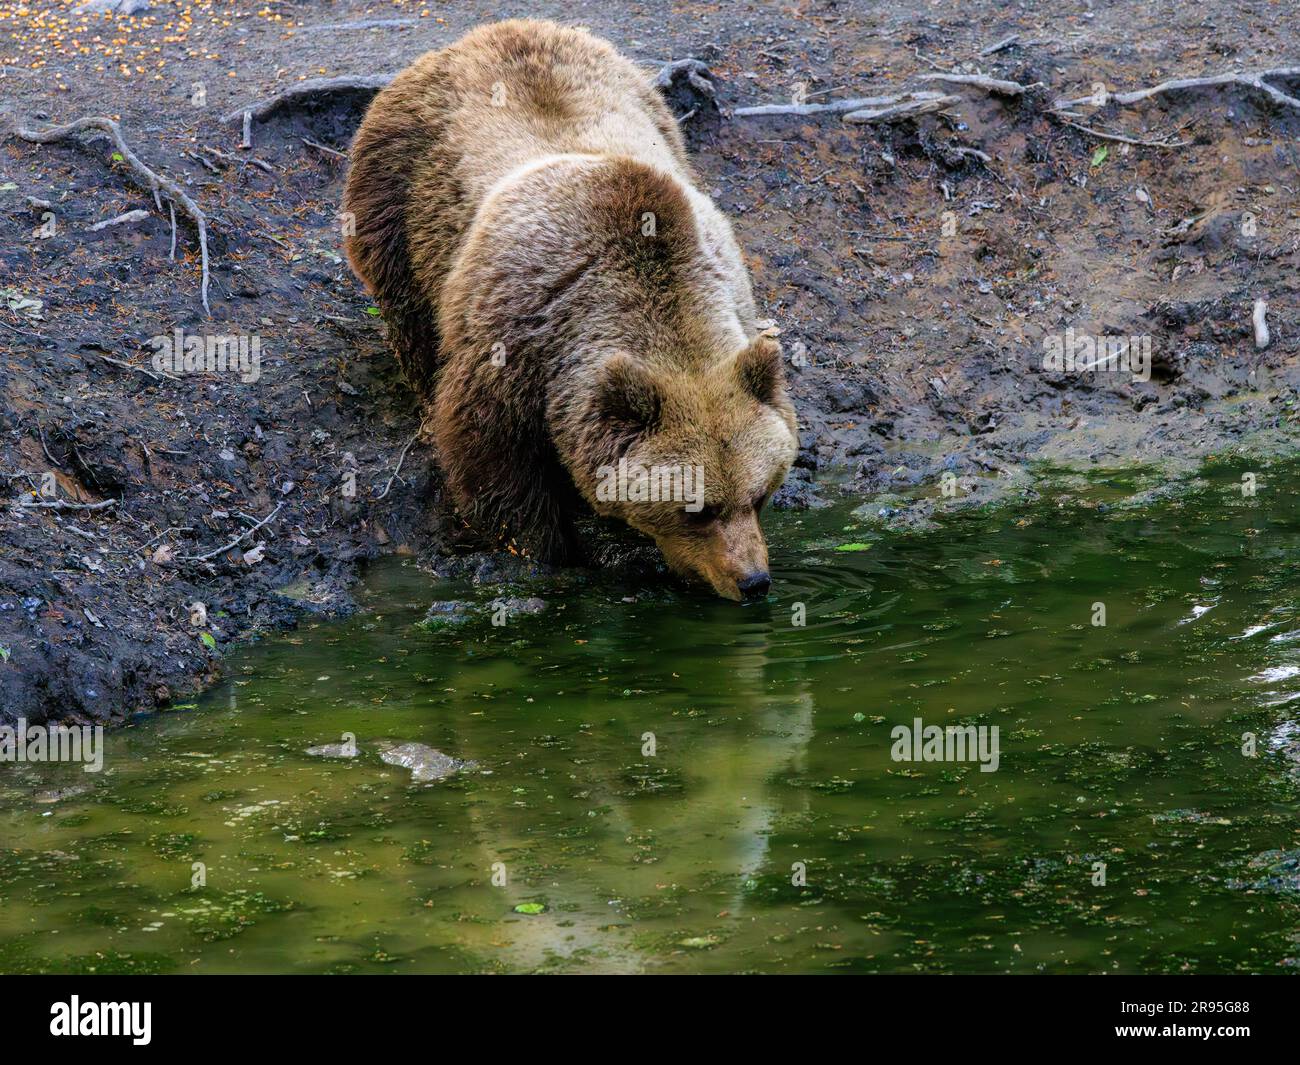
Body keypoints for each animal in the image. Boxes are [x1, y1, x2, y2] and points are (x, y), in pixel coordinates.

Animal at [343, 19, 797, 600]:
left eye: (760, 493)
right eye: (696, 509)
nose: (753, 580)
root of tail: (488, 31)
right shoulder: (516, 341)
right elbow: (494, 461)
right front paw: (541, 550)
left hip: (654, 108)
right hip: (402, 193)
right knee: (411, 314)